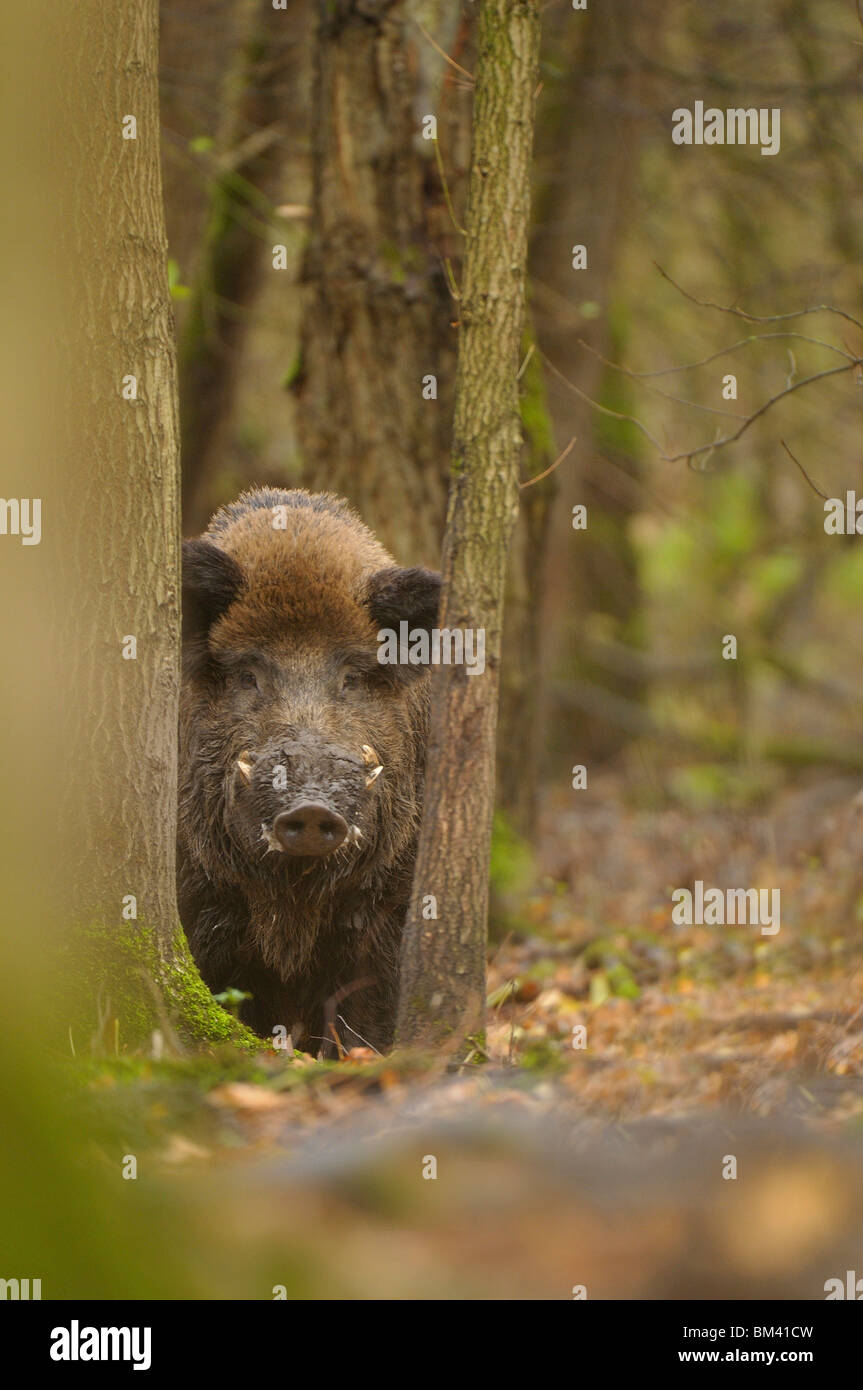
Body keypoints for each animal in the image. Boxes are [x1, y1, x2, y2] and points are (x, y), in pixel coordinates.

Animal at [177, 487, 441, 1054]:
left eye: (351, 677)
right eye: (247, 675)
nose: (313, 805)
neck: (293, 902)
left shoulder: (393, 903)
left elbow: (368, 1008)